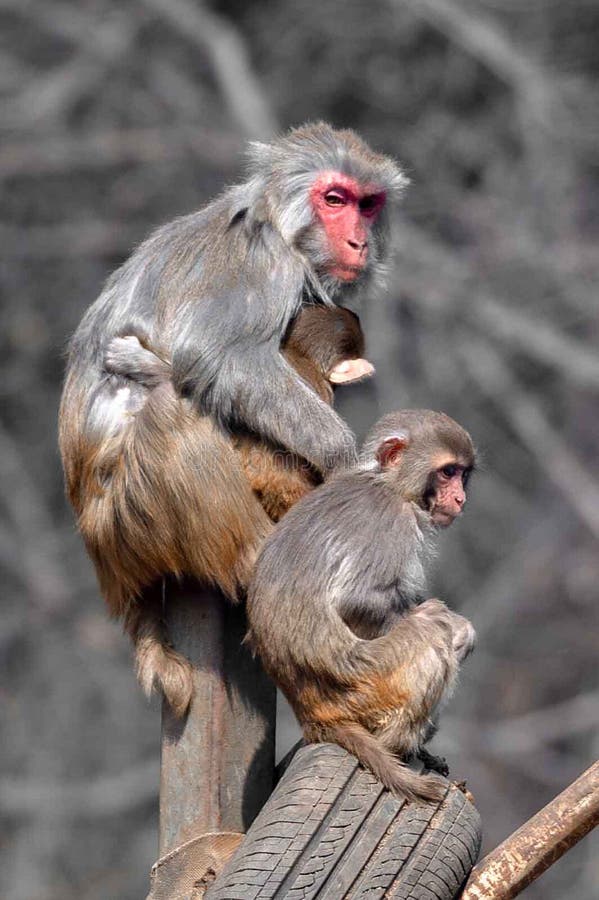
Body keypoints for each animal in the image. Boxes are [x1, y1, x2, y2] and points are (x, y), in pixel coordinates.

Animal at [246, 410, 477, 803]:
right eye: (448, 472)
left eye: (463, 474)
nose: (460, 498)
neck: (386, 482)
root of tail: (313, 718)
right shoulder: (392, 520)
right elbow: (359, 599)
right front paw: (451, 622)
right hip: (367, 686)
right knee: (431, 632)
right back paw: (399, 743)